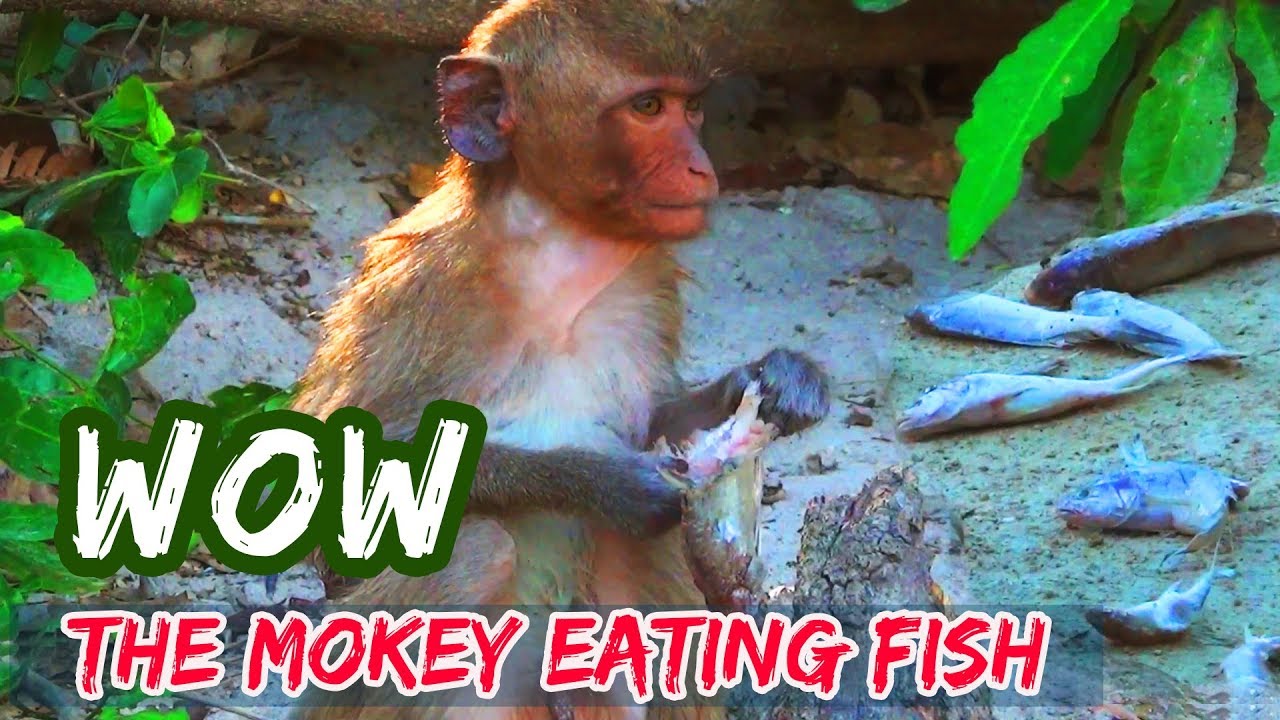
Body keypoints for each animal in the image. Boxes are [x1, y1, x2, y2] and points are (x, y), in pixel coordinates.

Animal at [284, 2, 831, 720]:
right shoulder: (417, 289)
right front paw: (608, 483)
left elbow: (659, 419)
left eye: (691, 109)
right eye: (648, 107)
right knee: (478, 552)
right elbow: (339, 482)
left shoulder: (649, 280)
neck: (557, 254)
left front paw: (776, 379)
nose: (702, 169)